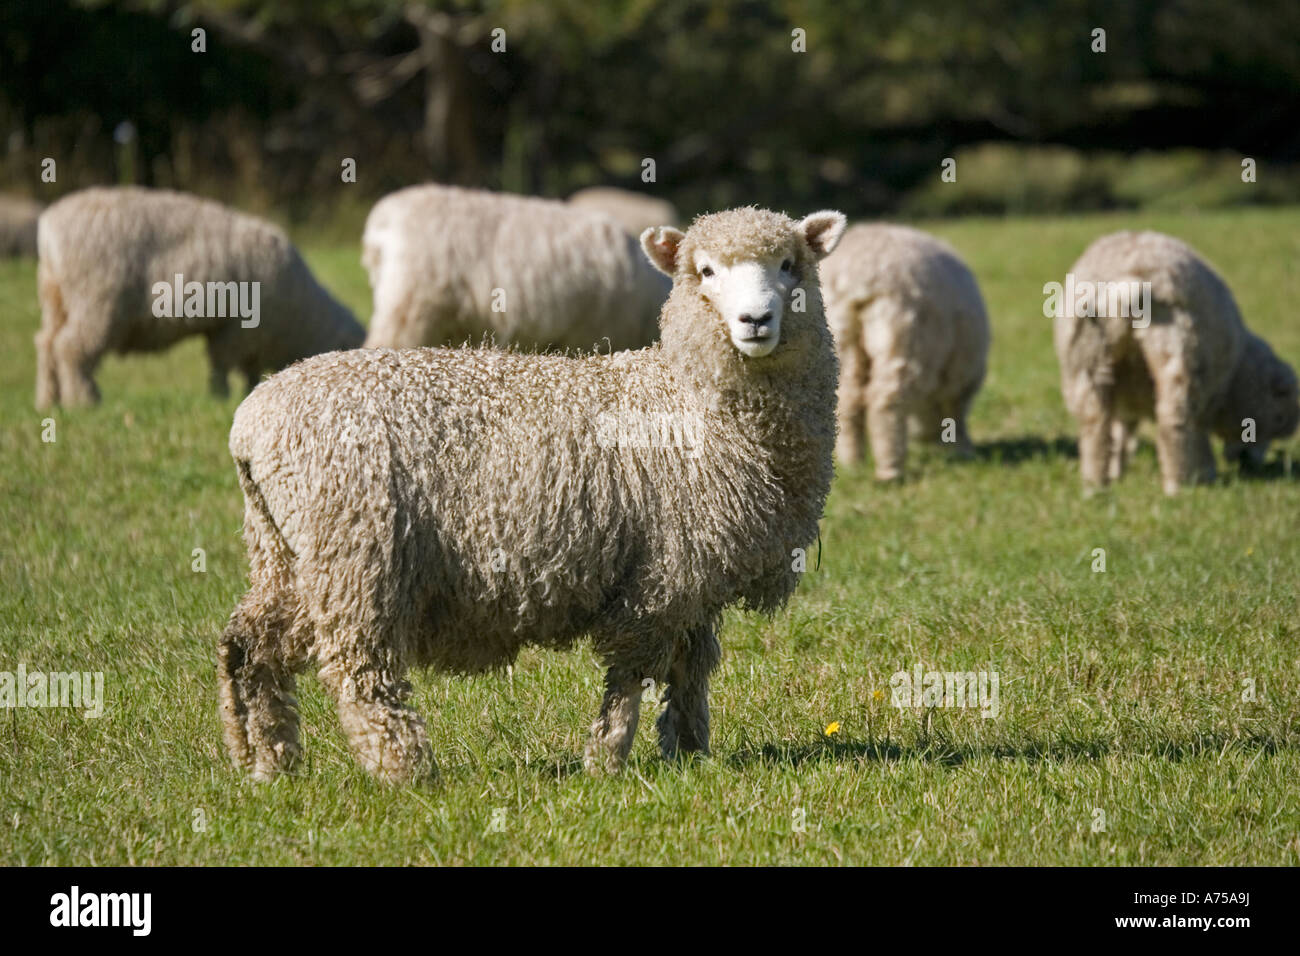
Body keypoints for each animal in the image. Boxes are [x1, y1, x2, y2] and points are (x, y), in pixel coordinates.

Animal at [34, 187, 363, 409]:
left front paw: (249, 389)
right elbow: (222, 364)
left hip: (56, 297)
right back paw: (84, 399)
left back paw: (49, 401)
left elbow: (248, 367)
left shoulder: (247, 334)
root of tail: (50, 228)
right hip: (97, 302)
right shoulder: (238, 327)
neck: (301, 314)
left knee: (47, 343)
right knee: (71, 348)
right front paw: (221, 395)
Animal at [218, 205, 847, 783]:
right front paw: (607, 760)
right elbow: (632, 674)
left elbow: (691, 670)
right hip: (355, 552)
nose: (755, 319)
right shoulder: (660, 575)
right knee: (358, 671)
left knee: (247, 645)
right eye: (706, 271)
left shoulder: (698, 577)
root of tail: (251, 422)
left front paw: (690, 753)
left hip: (285, 553)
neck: (686, 397)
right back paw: (405, 769)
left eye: (789, 264)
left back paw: (266, 760)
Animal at [819, 223, 991, 479]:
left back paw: (853, 464)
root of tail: (855, 278)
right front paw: (963, 450)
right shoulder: (960, 375)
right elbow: (956, 415)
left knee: (848, 400)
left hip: (841, 340)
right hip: (904, 336)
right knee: (885, 400)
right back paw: (890, 469)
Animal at [1054, 230, 1298, 494]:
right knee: (1173, 420)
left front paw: (1116, 471)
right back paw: (1177, 486)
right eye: (1277, 419)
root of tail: (1130, 282)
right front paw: (1206, 472)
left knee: (1095, 424)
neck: (1236, 377)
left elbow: (1121, 435)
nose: (1250, 464)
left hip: (1085, 358)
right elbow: (1199, 438)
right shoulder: (1208, 398)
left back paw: (1095, 485)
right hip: (1178, 352)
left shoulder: (1126, 405)